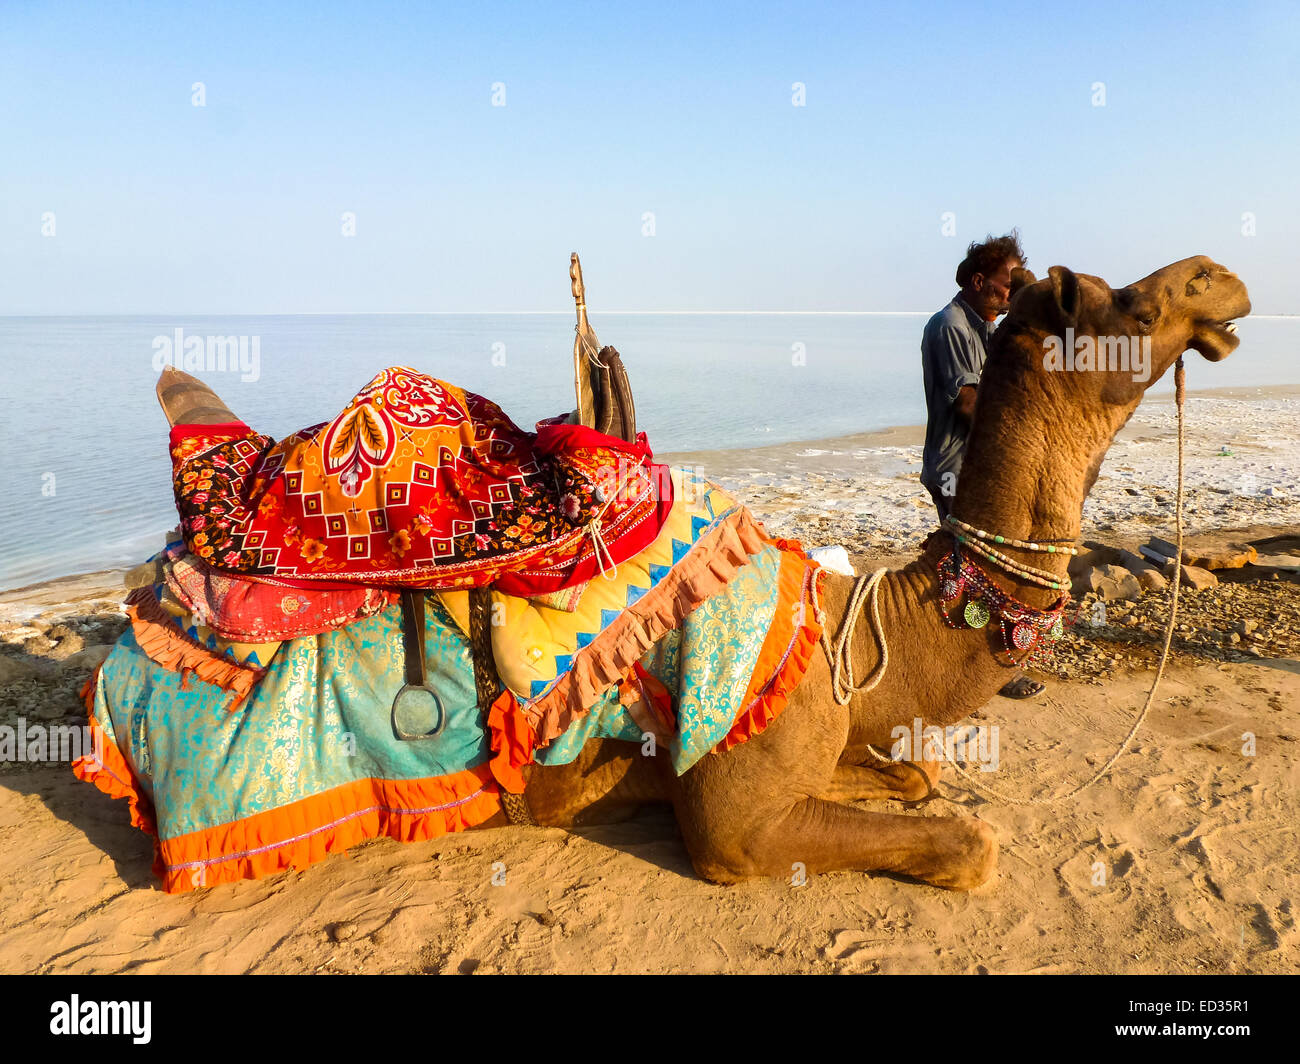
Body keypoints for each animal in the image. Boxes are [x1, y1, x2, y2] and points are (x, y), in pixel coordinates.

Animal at [155, 255, 1249, 892]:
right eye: (1132, 303)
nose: (1220, 276)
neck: (856, 624)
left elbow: (915, 768)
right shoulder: (737, 824)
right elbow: (964, 842)